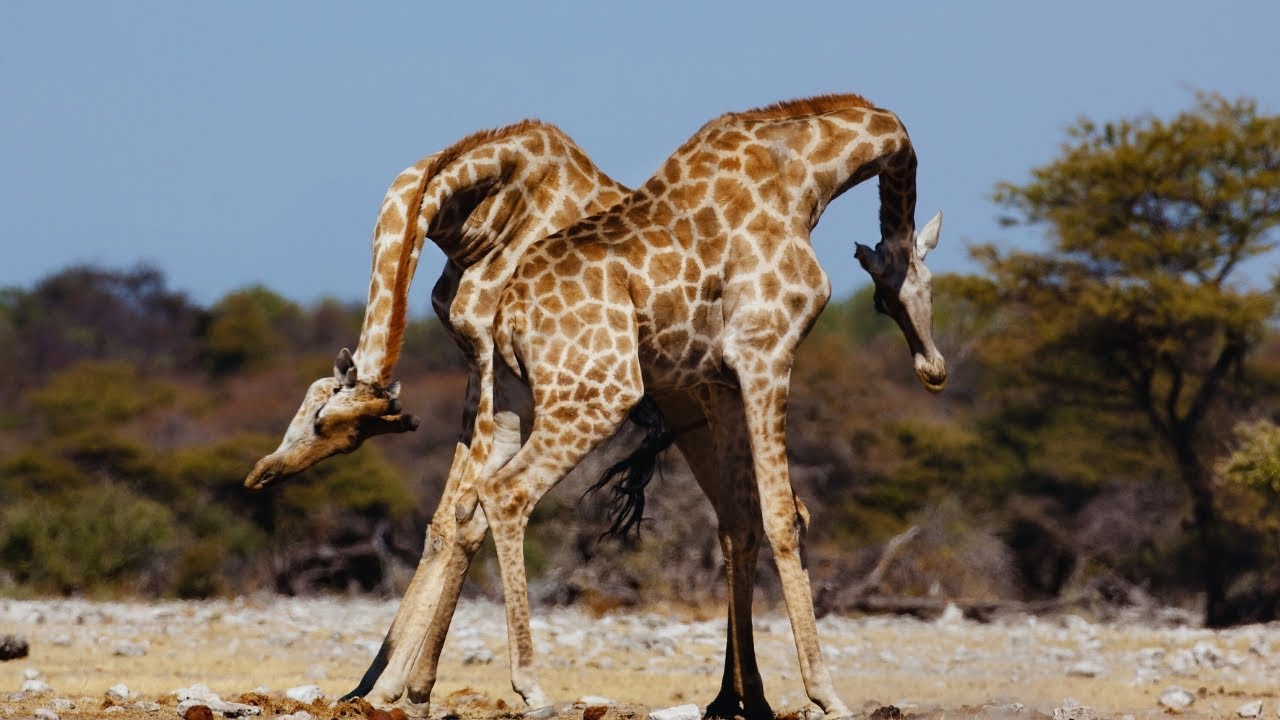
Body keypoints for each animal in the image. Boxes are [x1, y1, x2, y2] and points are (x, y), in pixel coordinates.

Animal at [446, 93, 945, 719]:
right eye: (890, 298)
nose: (934, 369)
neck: (805, 174)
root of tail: (507, 315)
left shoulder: (725, 381)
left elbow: (740, 522)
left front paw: (749, 698)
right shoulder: (765, 352)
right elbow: (784, 518)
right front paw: (825, 692)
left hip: (513, 397)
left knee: (468, 502)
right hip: (597, 393)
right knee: (508, 494)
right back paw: (531, 685)